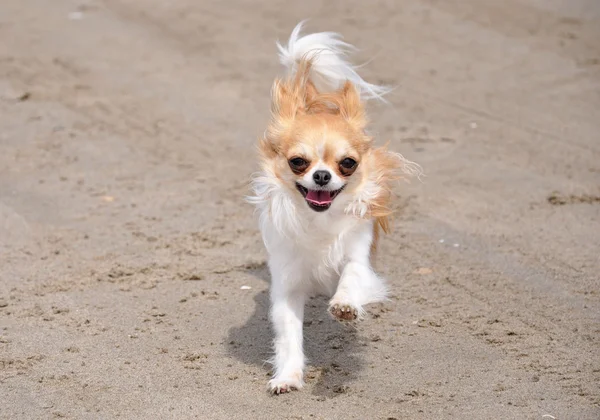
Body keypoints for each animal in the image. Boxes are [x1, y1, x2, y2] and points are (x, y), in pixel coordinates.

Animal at [248, 21, 422, 396]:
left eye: (348, 163)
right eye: (298, 161)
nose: (322, 175)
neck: (320, 221)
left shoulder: (359, 258)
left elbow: (351, 276)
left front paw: (343, 305)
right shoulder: (287, 284)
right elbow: (289, 336)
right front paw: (288, 376)